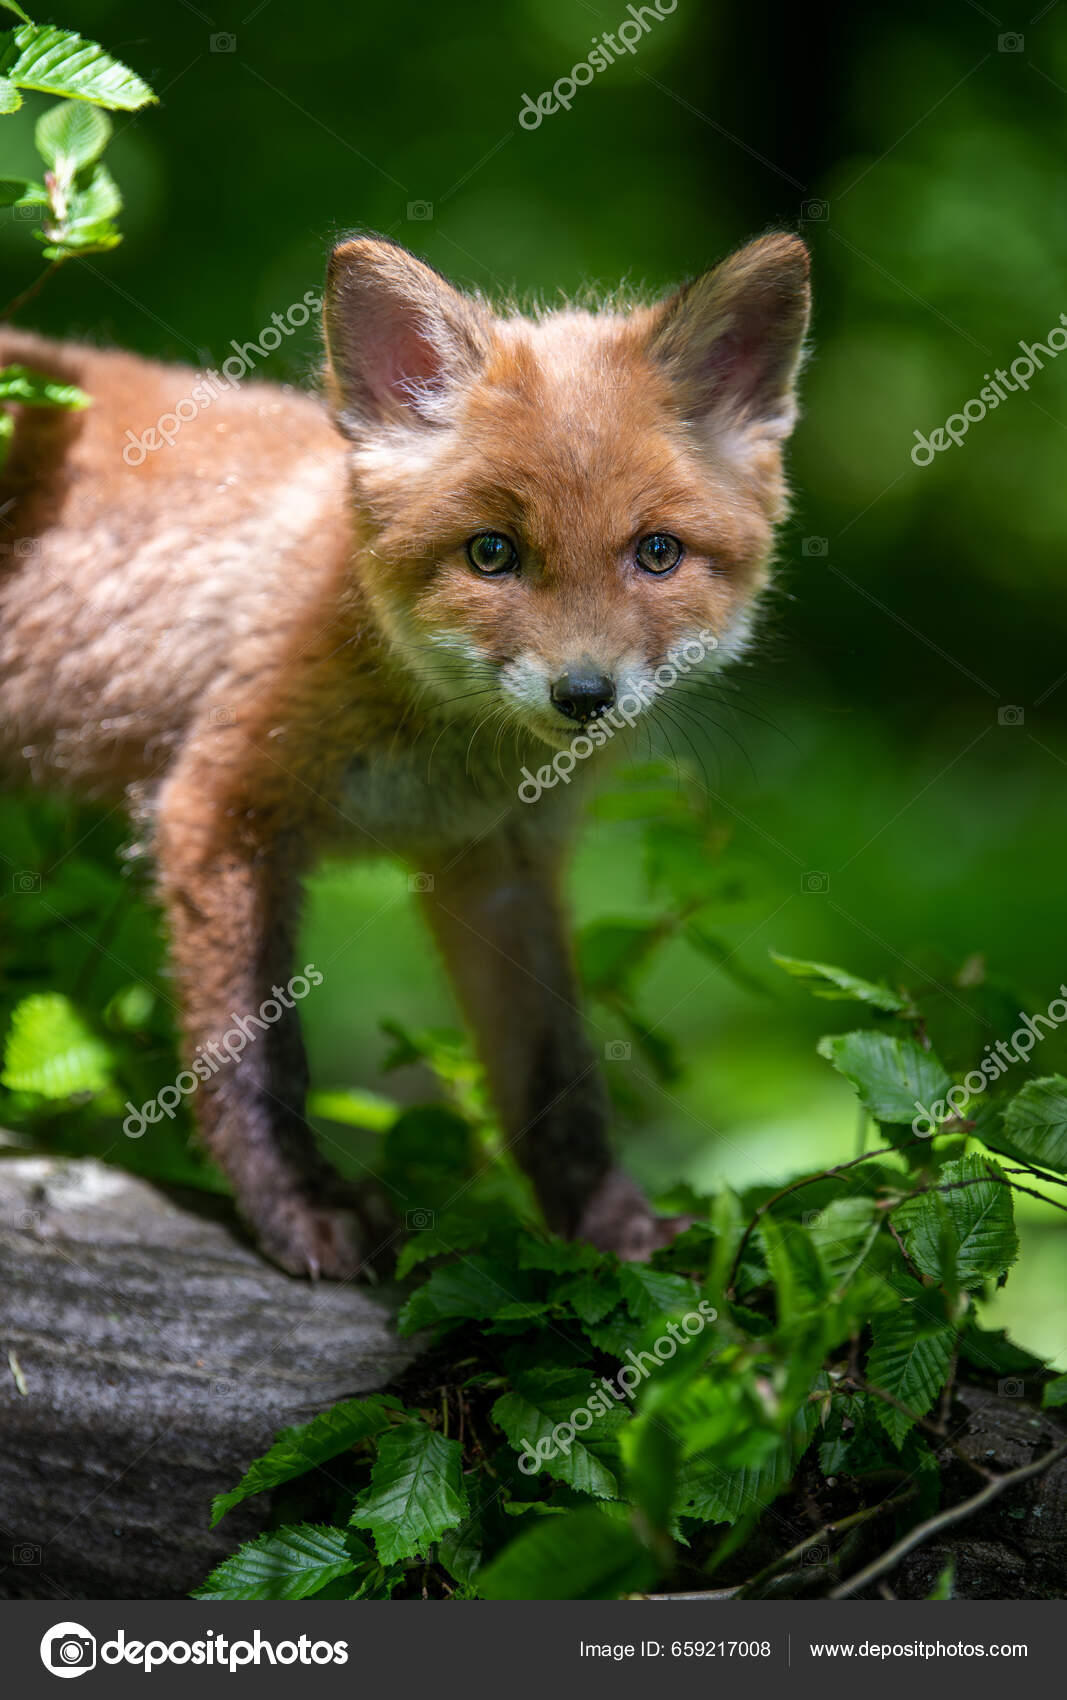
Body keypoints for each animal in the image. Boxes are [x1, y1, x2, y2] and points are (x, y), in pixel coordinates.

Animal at [0, 232, 810, 1278]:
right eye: (492, 553)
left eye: (657, 554)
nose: (584, 696)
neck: (448, 761)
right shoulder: (219, 808)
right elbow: (254, 1057)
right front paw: (296, 1204)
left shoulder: (502, 867)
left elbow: (556, 1077)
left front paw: (607, 1228)